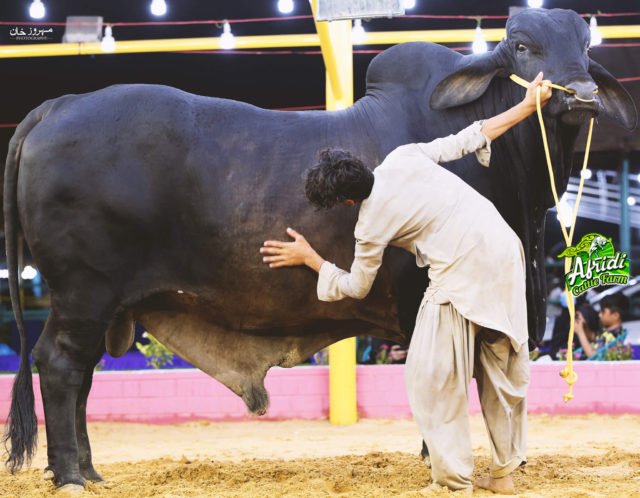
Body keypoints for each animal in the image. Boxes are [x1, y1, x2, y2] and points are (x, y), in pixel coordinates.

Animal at [2, 8, 636, 489]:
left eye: (586, 48)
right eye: (523, 47)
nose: (581, 95)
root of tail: (56, 105)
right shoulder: (422, 297)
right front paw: (436, 458)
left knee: (79, 377)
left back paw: (90, 471)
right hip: (83, 293)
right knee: (60, 367)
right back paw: (71, 475)